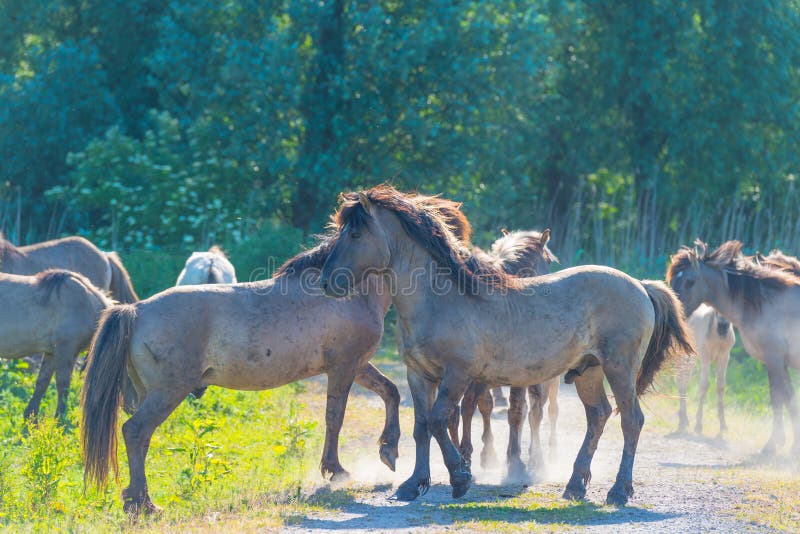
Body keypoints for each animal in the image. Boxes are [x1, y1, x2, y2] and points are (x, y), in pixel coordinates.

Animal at [0, 270, 112, 421]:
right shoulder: (65, 350)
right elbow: (63, 386)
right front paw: (60, 419)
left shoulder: (52, 353)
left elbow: (42, 383)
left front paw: (31, 417)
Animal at [448, 229, 561, 481]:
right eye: (548, 261)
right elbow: (488, 406)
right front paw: (492, 455)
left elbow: (519, 410)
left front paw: (517, 459)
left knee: (547, 410)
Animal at [675, 304, 735, 435]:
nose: (723, 327)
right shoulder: (705, 356)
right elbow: (704, 385)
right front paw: (698, 425)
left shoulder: (724, 357)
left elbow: (721, 386)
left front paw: (723, 425)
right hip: (683, 353)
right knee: (681, 379)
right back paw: (682, 420)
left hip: (691, 357)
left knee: (684, 378)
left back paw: (684, 419)